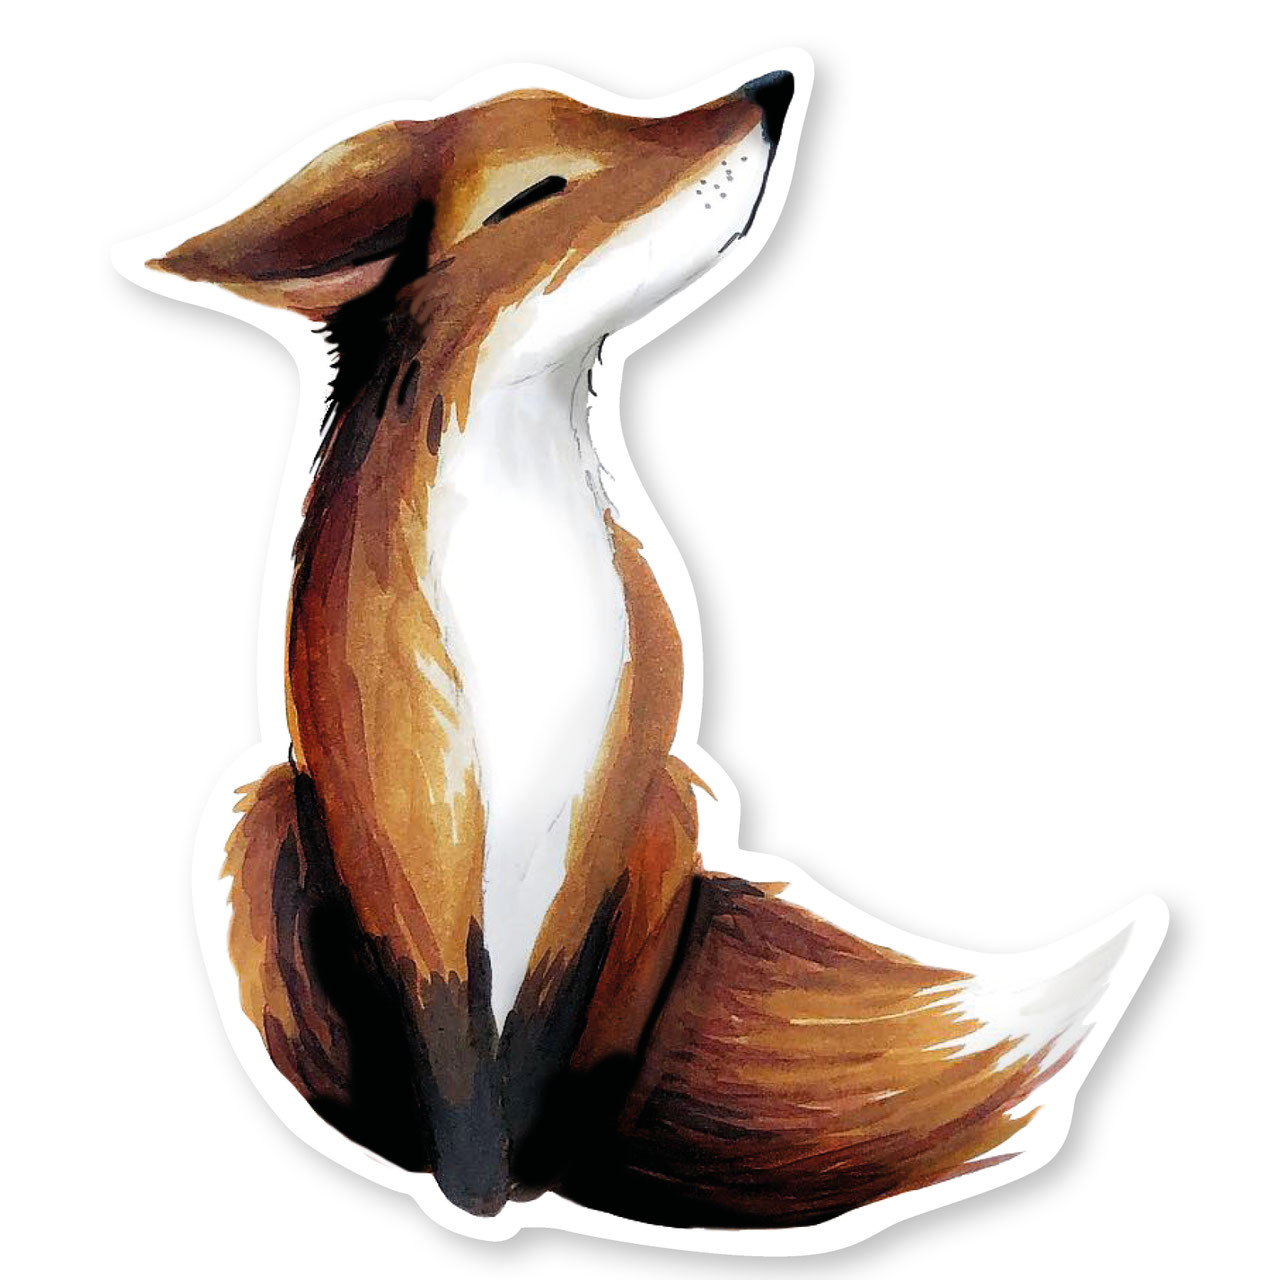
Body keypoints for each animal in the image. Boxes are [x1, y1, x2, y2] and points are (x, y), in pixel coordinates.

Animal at [132, 59, 1166, 1247]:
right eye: (537, 192)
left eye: (607, 114)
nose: (773, 86)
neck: (523, 599)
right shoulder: (406, 838)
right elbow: (451, 1056)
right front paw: (475, 1198)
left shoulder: (607, 799)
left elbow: (539, 1033)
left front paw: (520, 1184)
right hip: (262, 820)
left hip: (670, 813)